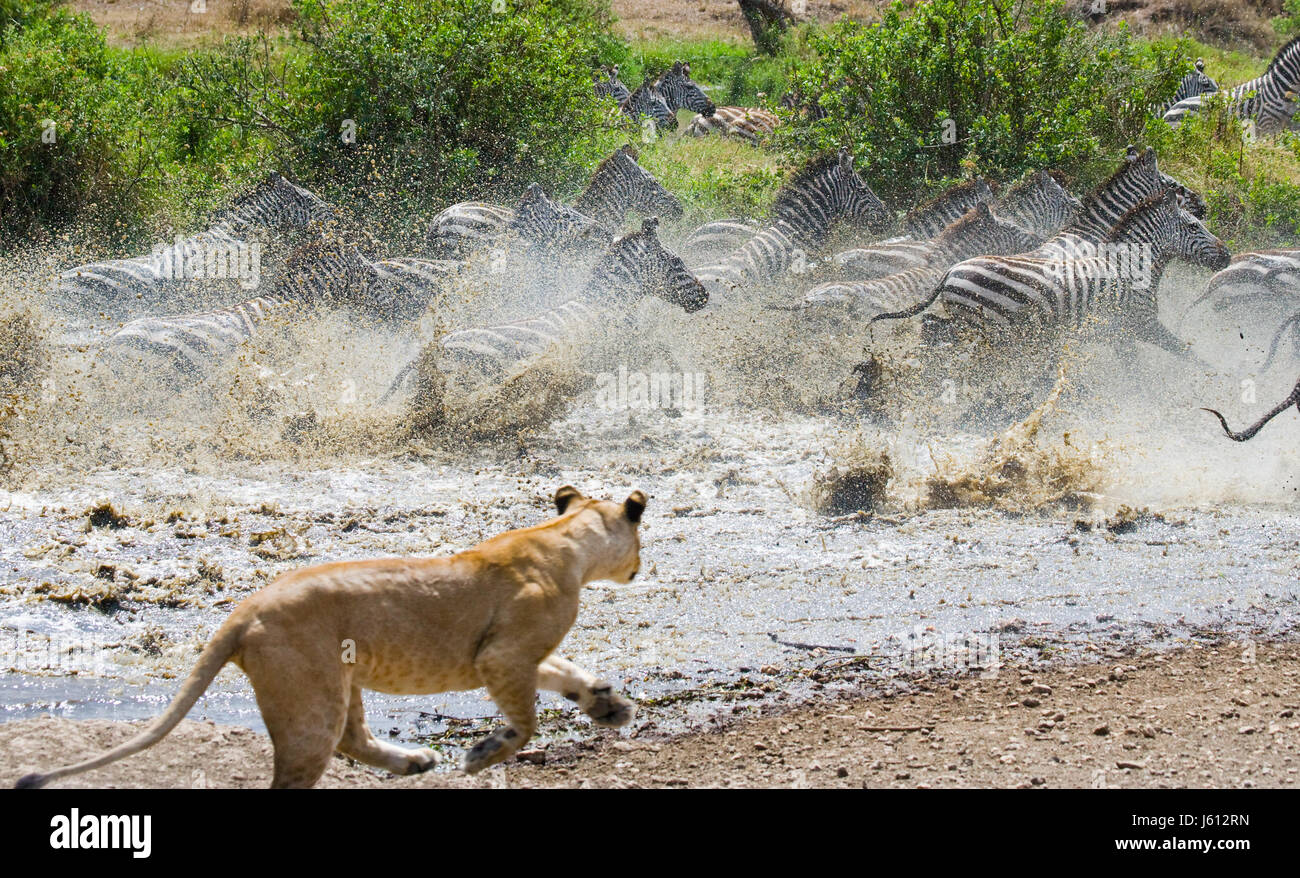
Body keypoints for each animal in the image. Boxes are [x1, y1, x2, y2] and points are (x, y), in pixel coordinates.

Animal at [15, 485, 646, 789]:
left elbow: (565, 673)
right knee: (302, 769)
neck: (568, 537)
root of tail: (242, 610)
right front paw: (483, 754)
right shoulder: (500, 655)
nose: (643, 565)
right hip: (310, 700)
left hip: (342, 681)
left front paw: (608, 706)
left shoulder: (514, 654)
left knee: (353, 738)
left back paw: (413, 762)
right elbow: (528, 719)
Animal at [891, 188, 1230, 355]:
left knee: (931, 328)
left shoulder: (1121, 334)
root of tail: (950, 271)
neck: (1131, 269)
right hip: (979, 325)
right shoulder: (1139, 324)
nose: (1227, 255)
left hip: (964, 322)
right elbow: (1188, 355)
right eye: (1194, 226)